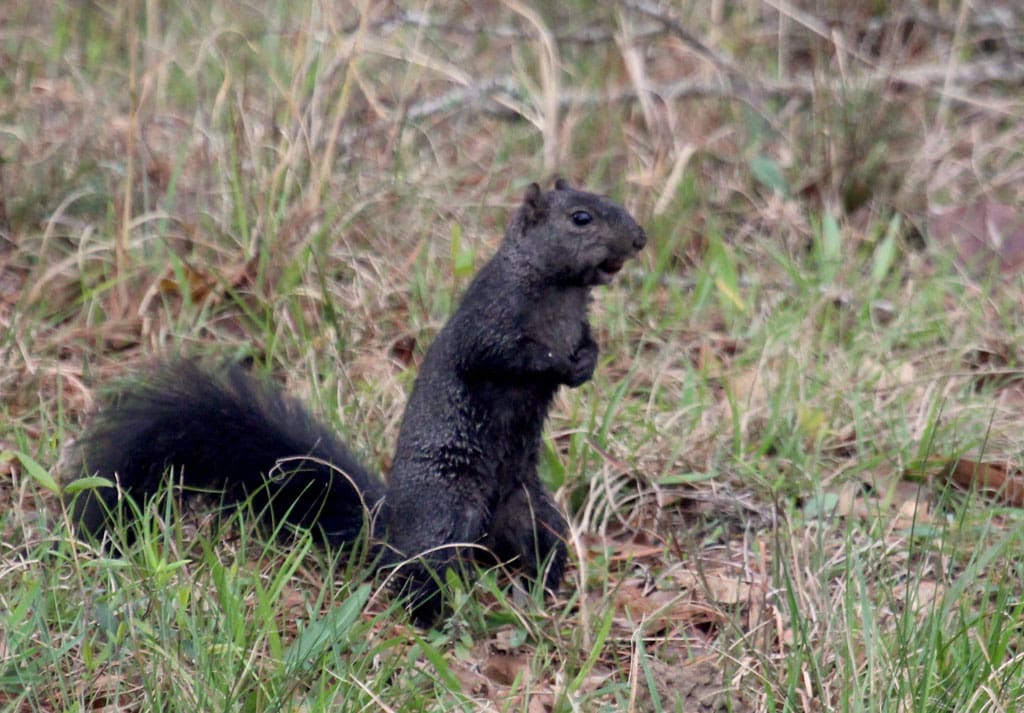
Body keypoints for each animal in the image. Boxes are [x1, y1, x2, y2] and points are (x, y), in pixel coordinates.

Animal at [63, 179, 647, 624]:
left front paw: (586, 361)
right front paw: (555, 362)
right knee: (418, 573)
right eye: (580, 218)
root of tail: (386, 529)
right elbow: (502, 357)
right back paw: (434, 620)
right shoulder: (488, 320)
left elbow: (585, 347)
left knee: (540, 548)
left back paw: (545, 596)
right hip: (445, 513)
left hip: (530, 512)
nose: (640, 239)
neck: (560, 291)